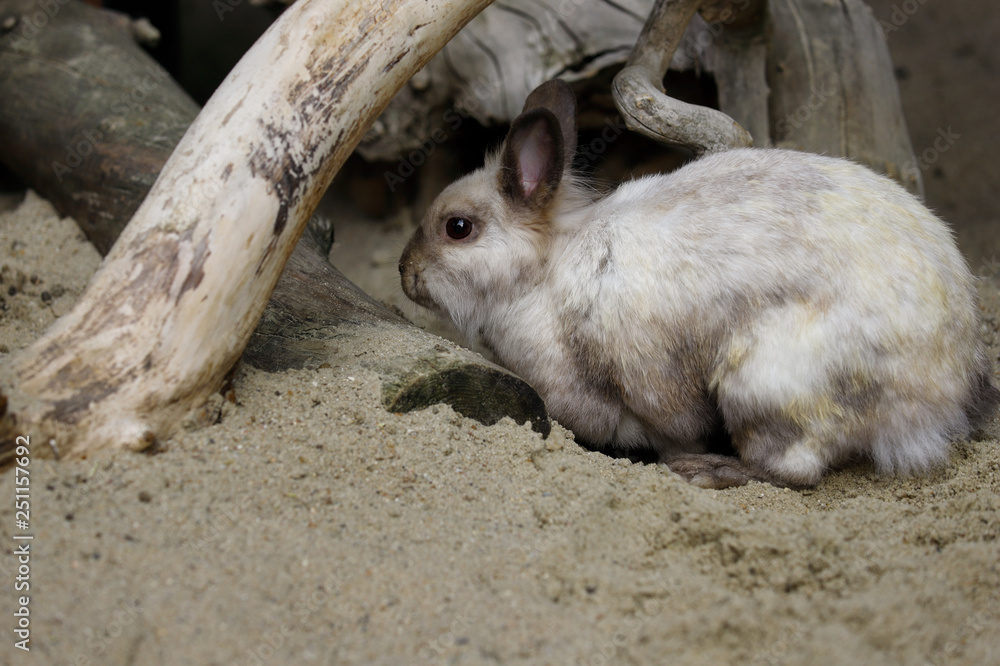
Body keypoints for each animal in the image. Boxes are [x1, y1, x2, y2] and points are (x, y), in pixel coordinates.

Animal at [398, 79, 999, 489]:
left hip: (764, 383)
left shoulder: (643, 379)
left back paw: (707, 471)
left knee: (791, 469)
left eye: (458, 228)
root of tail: (946, 391)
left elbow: (671, 422)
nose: (405, 273)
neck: (545, 274)